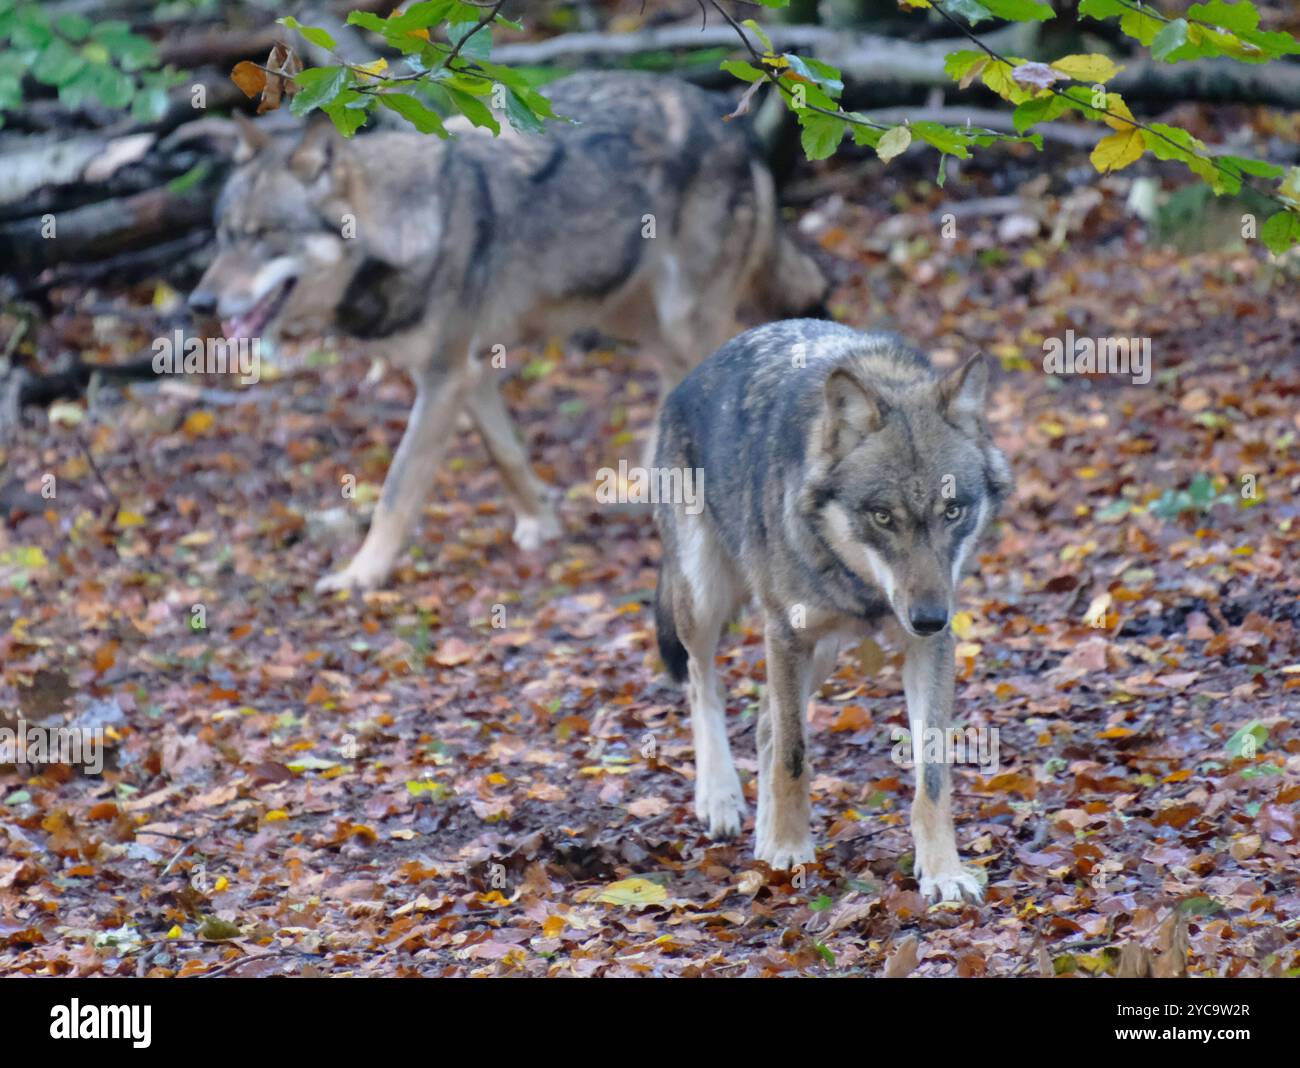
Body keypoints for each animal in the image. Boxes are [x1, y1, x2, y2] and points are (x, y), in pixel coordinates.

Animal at [187, 71, 827, 592]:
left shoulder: (444, 377)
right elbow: (506, 455)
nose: (199, 302)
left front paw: (361, 574)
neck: (404, 227)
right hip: (627, 314)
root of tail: (730, 120)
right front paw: (540, 523)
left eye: (263, 236)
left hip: (680, 314)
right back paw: (648, 485)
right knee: (673, 382)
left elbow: (397, 489)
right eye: (222, 234)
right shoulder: (467, 372)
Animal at [653, 319, 1011, 902]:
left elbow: (932, 776)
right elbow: (795, 757)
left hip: (818, 655)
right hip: (706, 599)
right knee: (704, 686)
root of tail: (695, 372)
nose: (929, 617)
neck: (862, 586)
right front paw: (788, 851)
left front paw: (943, 872)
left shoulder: (928, 648)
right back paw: (720, 799)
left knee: (765, 725)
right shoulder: (786, 634)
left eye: (953, 511)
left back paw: (759, 831)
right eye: (883, 516)